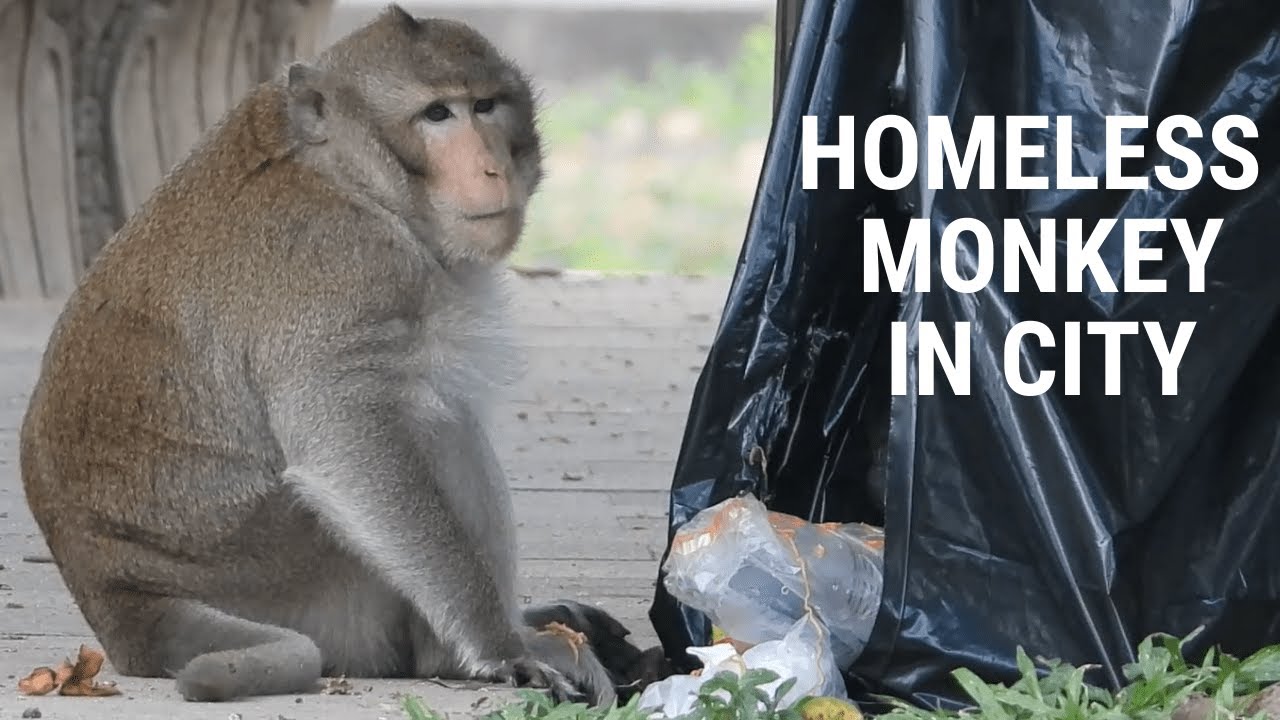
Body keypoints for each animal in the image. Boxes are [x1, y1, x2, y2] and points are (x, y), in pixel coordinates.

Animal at [19, 5, 618, 707]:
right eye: (437, 114)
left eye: (486, 105)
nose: (493, 169)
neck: (351, 174)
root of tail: (126, 607)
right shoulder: (346, 267)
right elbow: (346, 435)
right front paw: (498, 646)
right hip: (297, 580)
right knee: (435, 422)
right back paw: (455, 650)